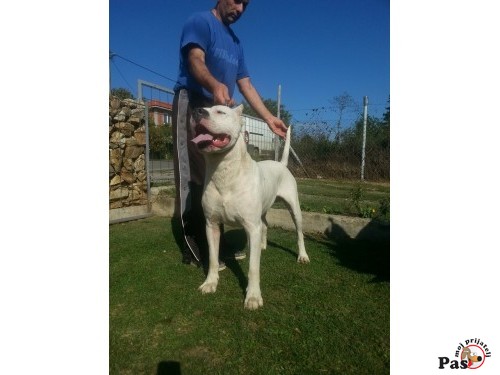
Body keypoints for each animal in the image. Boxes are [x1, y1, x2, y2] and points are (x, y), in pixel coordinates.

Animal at [191, 104, 308, 310]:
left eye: (221, 112)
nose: (197, 111)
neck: (224, 172)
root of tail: (281, 164)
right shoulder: (211, 225)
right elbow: (213, 259)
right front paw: (210, 283)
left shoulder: (251, 227)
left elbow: (253, 267)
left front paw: (253, 296)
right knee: (265, 225)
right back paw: (262, 245)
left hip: (294, 209)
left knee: (299, 233)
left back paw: (302, 255)